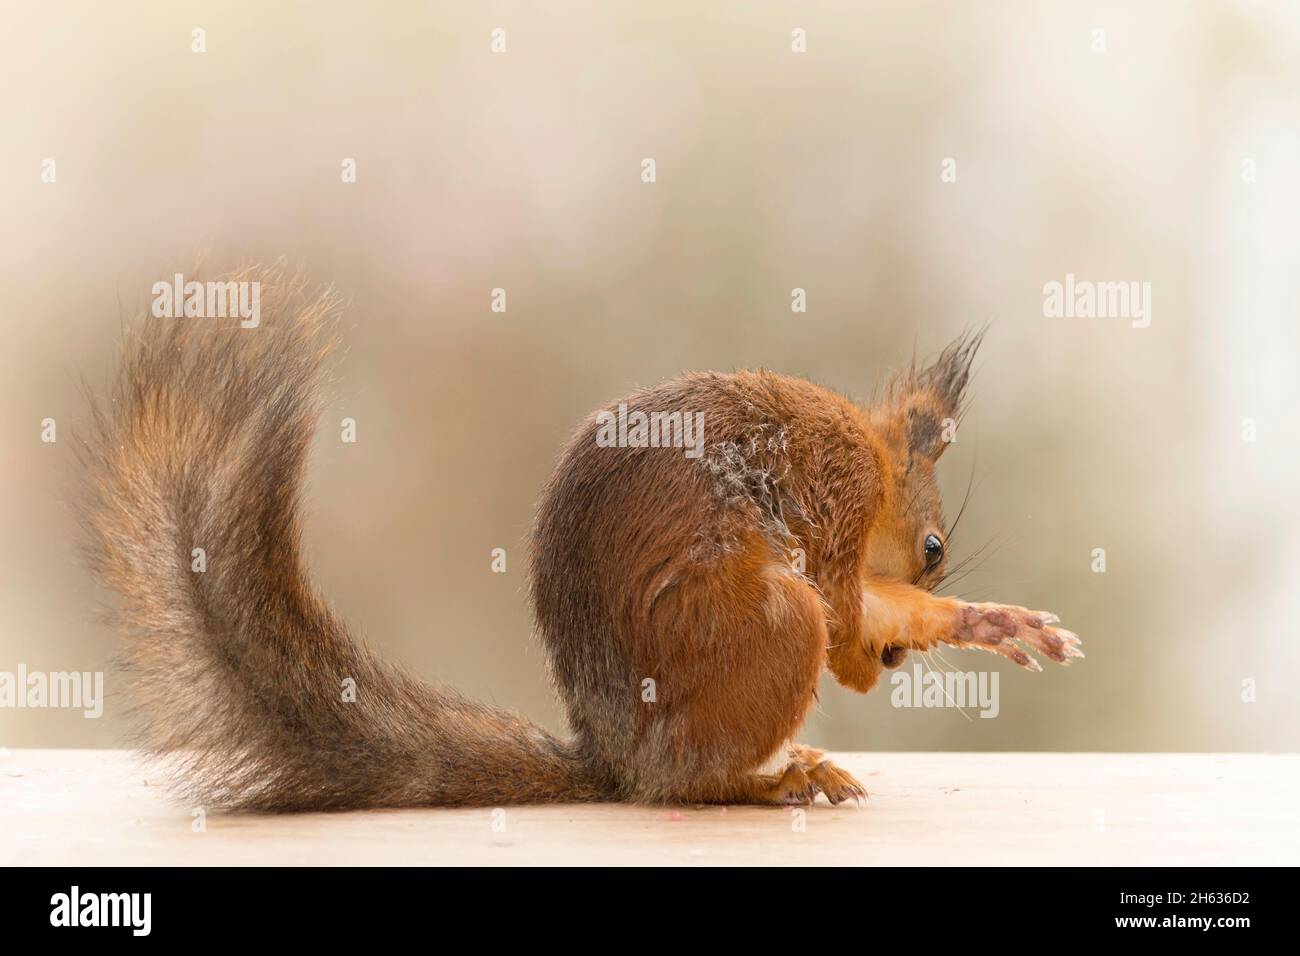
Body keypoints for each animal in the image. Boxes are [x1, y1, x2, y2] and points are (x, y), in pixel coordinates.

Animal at [77, 266, 1081, 811]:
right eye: (934, 549)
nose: (903, 667)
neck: (870, 461)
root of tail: (618, 759)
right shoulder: (837, 504)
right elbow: (845, 630)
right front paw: (956, 625)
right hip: (760, 628)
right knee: (696, 781)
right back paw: (772, 779)